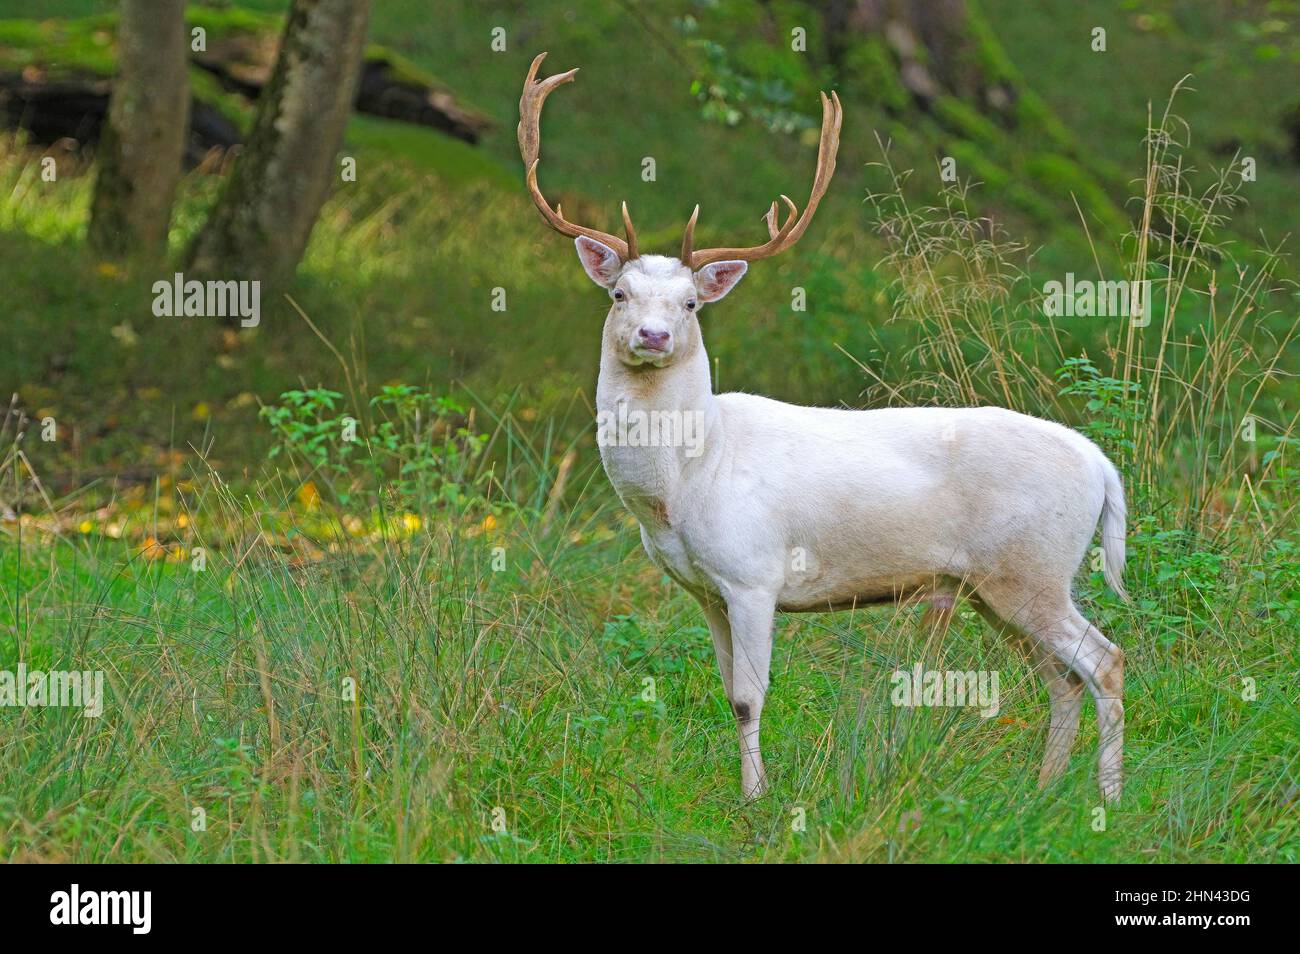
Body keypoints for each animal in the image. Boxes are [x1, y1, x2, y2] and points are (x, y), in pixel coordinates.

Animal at [518, 53, 1128, 804]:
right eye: (618, 294)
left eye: (690, 303)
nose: (653, 335)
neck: (686, 481)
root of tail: (1100, 466)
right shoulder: (705, 589)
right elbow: (727, 692)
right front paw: (750, 789)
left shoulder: (753, 573)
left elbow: (748, 697)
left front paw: (756, 799)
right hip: (996, 584)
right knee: (1060, 677)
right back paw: (1042, 792)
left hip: (1034, 564)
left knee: (1105, 660)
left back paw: (1108, 798)